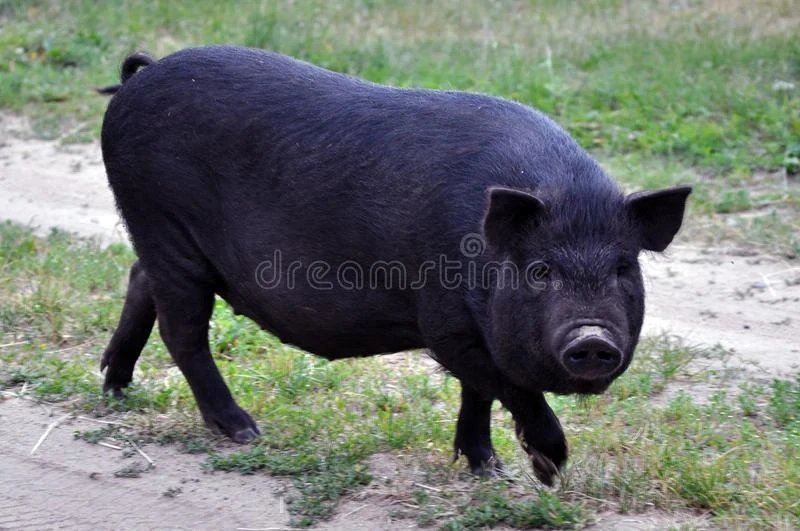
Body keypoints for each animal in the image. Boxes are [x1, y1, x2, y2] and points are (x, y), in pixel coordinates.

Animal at [98, 46, 691, 485]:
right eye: (540, 270)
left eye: (622, 269)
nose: (592, 338)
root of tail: (139, 78)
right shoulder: (445, 324)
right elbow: (506, 385)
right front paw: (549, 470)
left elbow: (478, 392)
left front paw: (488, 469)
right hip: (161, 221)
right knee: (182, 330)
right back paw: (245, 431)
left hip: (159, 238)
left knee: (139, 281)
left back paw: (116, 386)